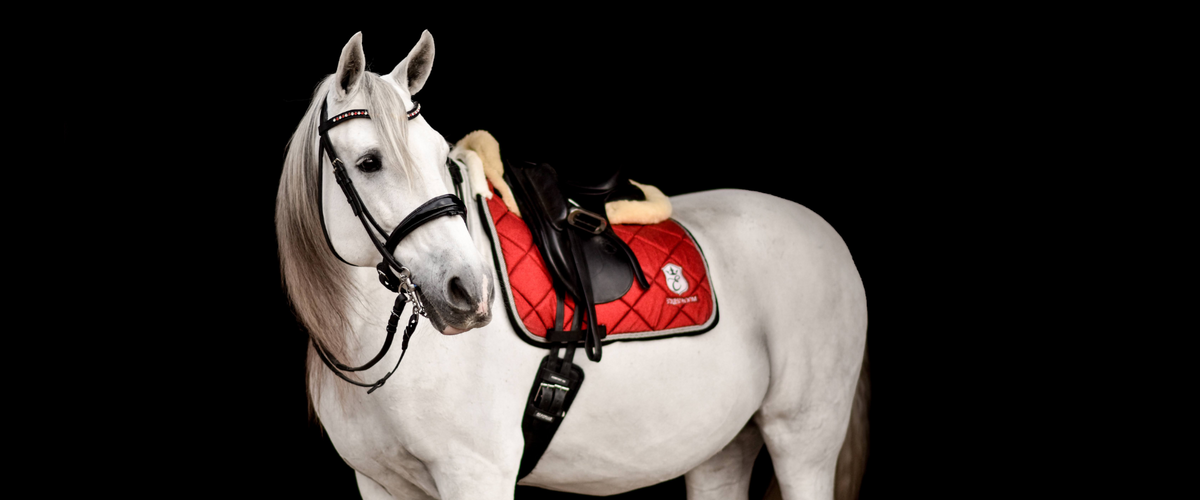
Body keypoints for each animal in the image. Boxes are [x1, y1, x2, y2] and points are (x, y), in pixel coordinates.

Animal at [276, 30, 869, 500]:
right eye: (368, 162)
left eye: (441, 155)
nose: (470, 291)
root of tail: (829, 237)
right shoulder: (378, 484)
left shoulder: (477, 474)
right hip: (721, 448)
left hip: (804, 441)